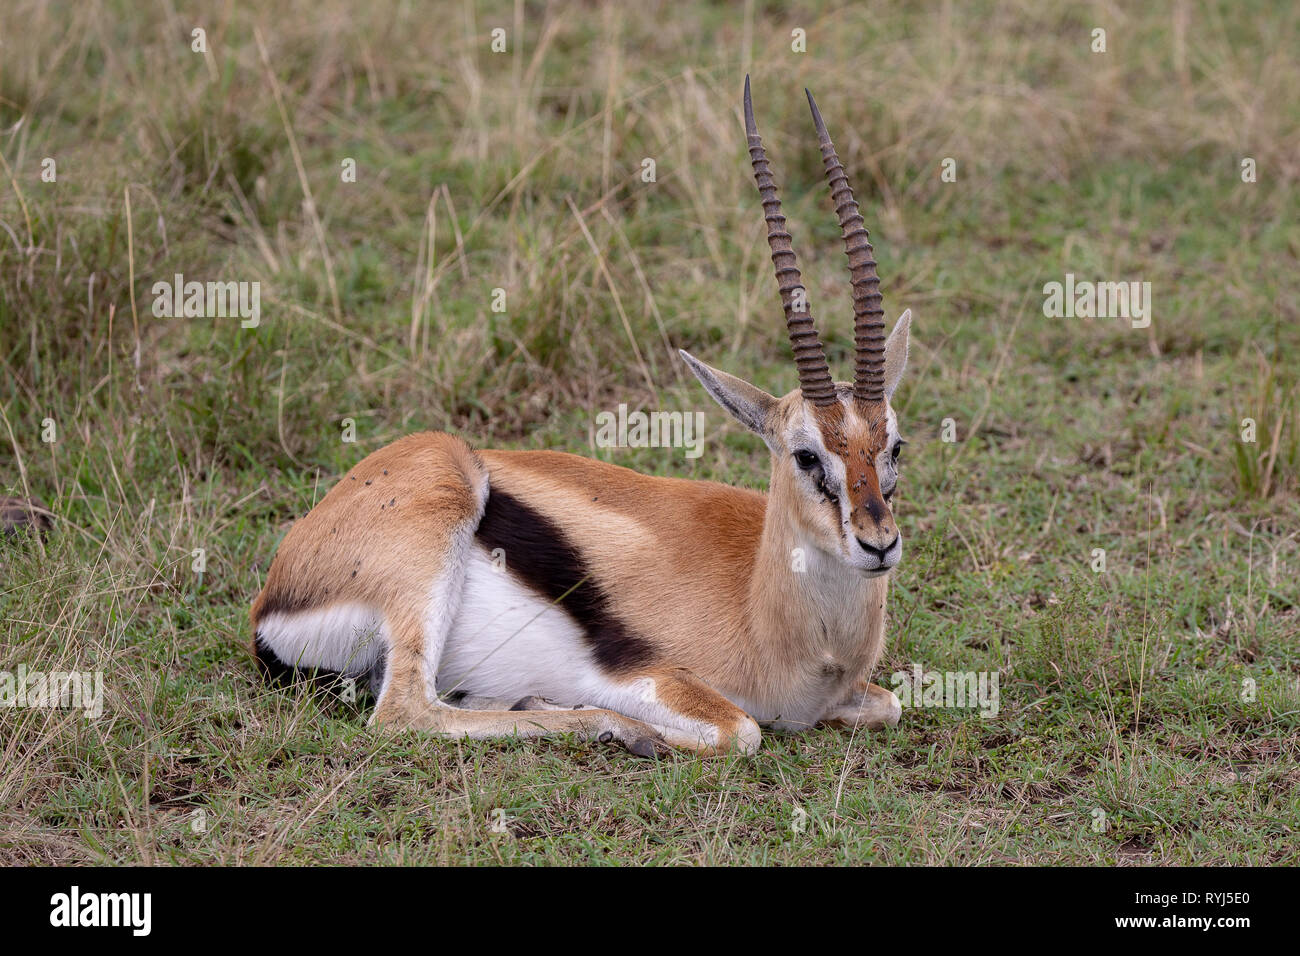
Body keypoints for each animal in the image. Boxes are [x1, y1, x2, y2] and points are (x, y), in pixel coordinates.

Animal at [250, 79, 914, 757]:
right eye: (807, 455)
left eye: (894, 446)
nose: (879, 543)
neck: (767, 608)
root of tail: (277, 588)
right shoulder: (645, 677)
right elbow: (742, 729)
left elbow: (890, 705)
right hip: (436, 531)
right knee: (405, 711)